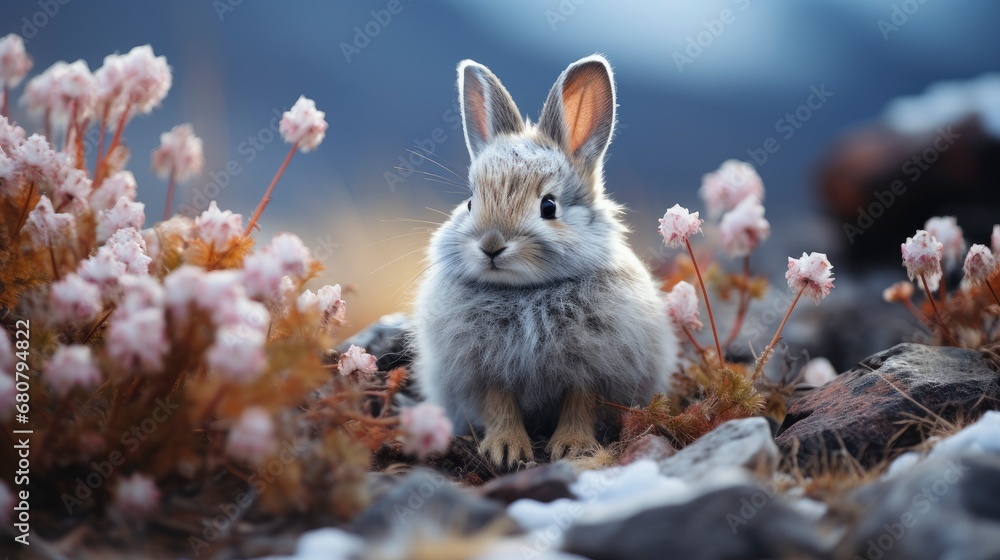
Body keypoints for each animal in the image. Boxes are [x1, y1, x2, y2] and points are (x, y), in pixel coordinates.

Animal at [411, 54, 679, 468]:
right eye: (471, 203)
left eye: (549, 206)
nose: (491, 245)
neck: (526, 290)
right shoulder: (488, 372)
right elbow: (501, 406)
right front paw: (505, 451)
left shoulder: (590, 370)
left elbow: (579, 406)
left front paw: (572, 448)